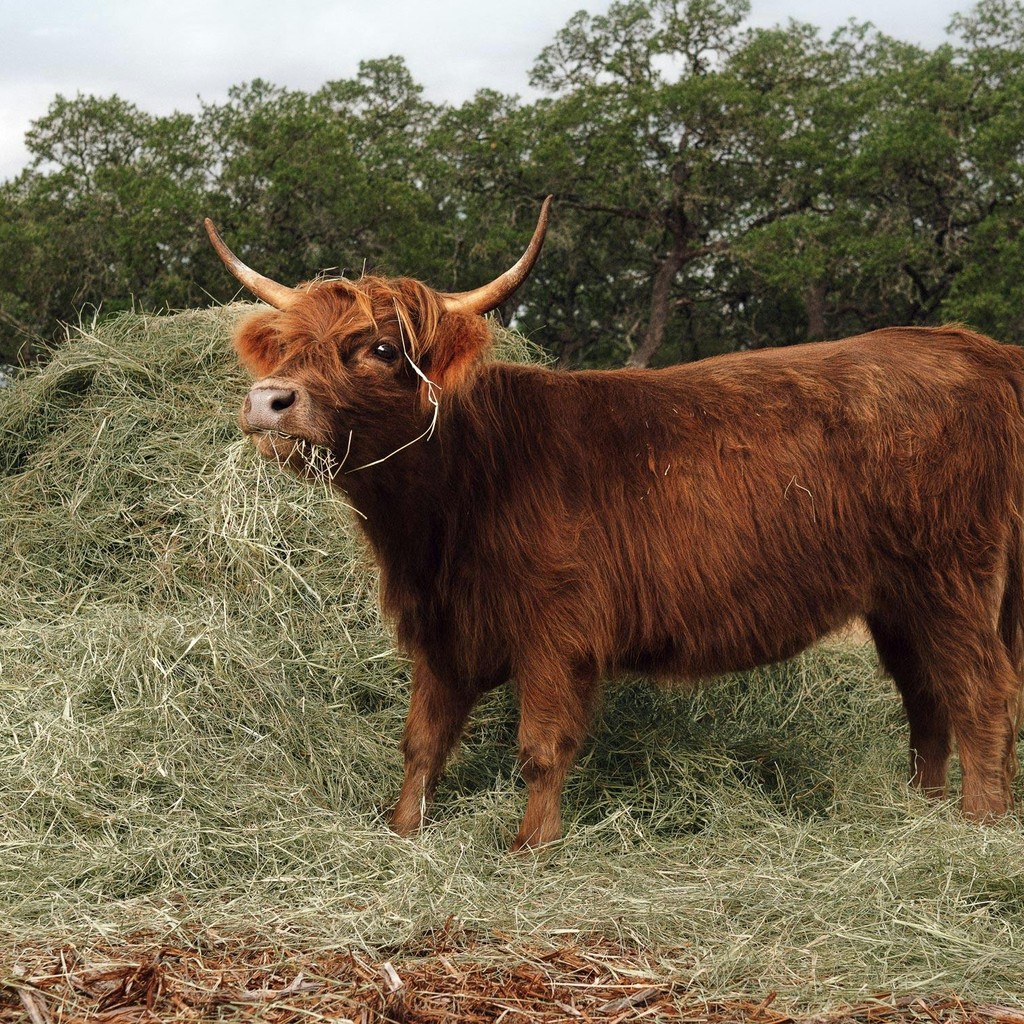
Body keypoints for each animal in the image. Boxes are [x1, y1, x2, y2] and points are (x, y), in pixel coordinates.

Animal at [206, 200, 1024, 850]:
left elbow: (542, 744)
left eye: (378, 348)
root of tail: (973, 348)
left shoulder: (557, 629)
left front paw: (531, 844)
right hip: (898, 598)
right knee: (927, 697)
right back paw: (920, 810)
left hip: (952, 578)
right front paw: (403, 828)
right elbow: (422, 741)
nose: (270, 400)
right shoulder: (442, 628)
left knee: (982, 691)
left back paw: (975, 825)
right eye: (285, 346)